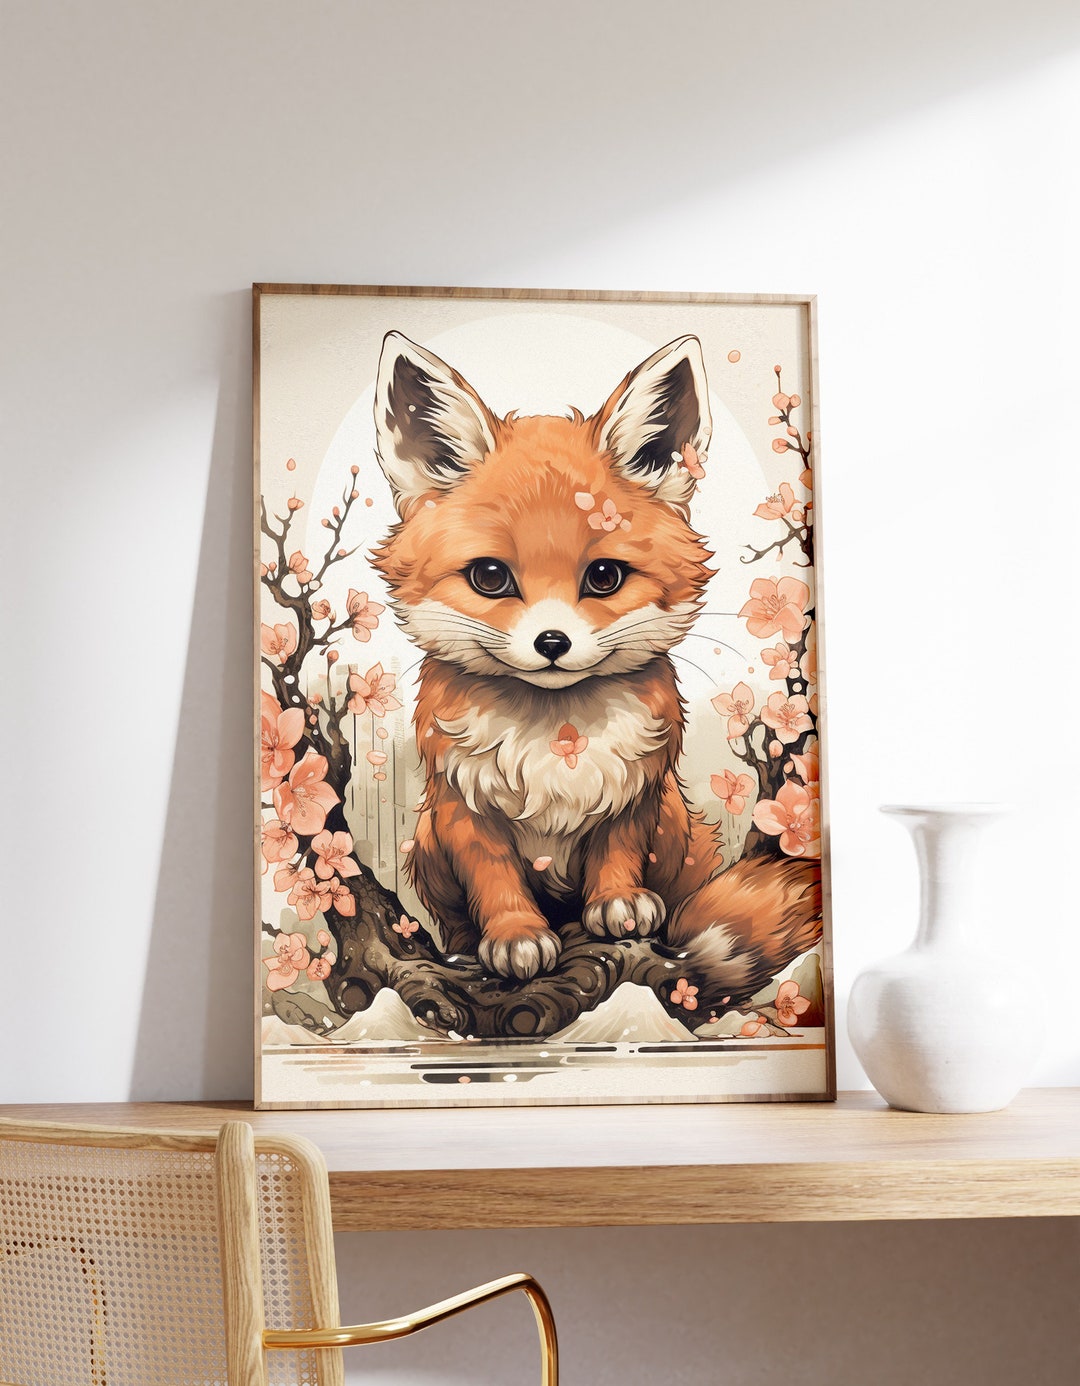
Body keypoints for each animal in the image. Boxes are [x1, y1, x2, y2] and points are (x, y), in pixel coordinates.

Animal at [370, 330, 822, 1002]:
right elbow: (494, 876)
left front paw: (617, 902)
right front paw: (514, 933)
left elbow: (617, 851)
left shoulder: (636, 790)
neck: (557, 737)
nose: (552, 641)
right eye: (490, 576)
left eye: (604, 576)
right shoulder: (462, 805)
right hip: (426, 841)